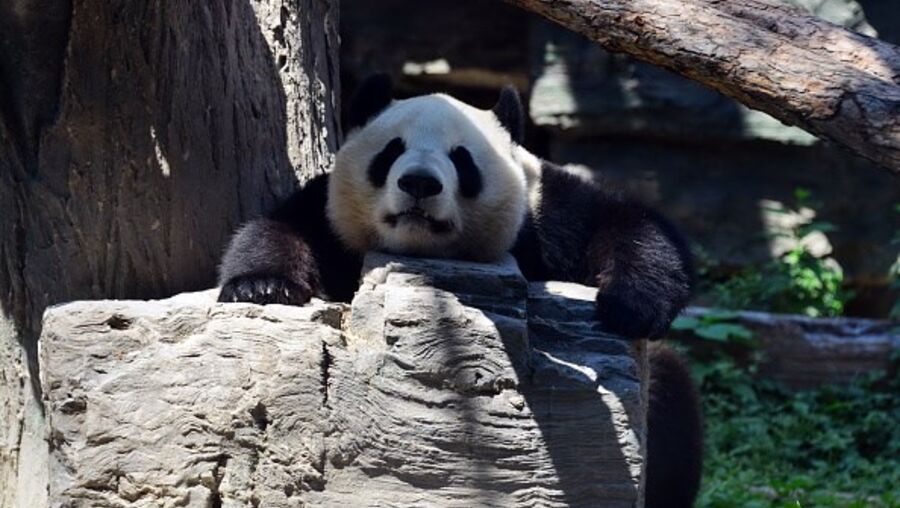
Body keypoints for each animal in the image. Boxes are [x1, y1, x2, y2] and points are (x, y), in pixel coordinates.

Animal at [218, 74, 703, 508]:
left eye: (462, 159)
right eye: (391, 151)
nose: (419, 183)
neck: (420, 252)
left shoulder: (542, 210)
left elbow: (623, 221)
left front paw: (632, 302)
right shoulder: (330, 218)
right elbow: (278, 228)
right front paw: (261, 284)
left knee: (668, 397)